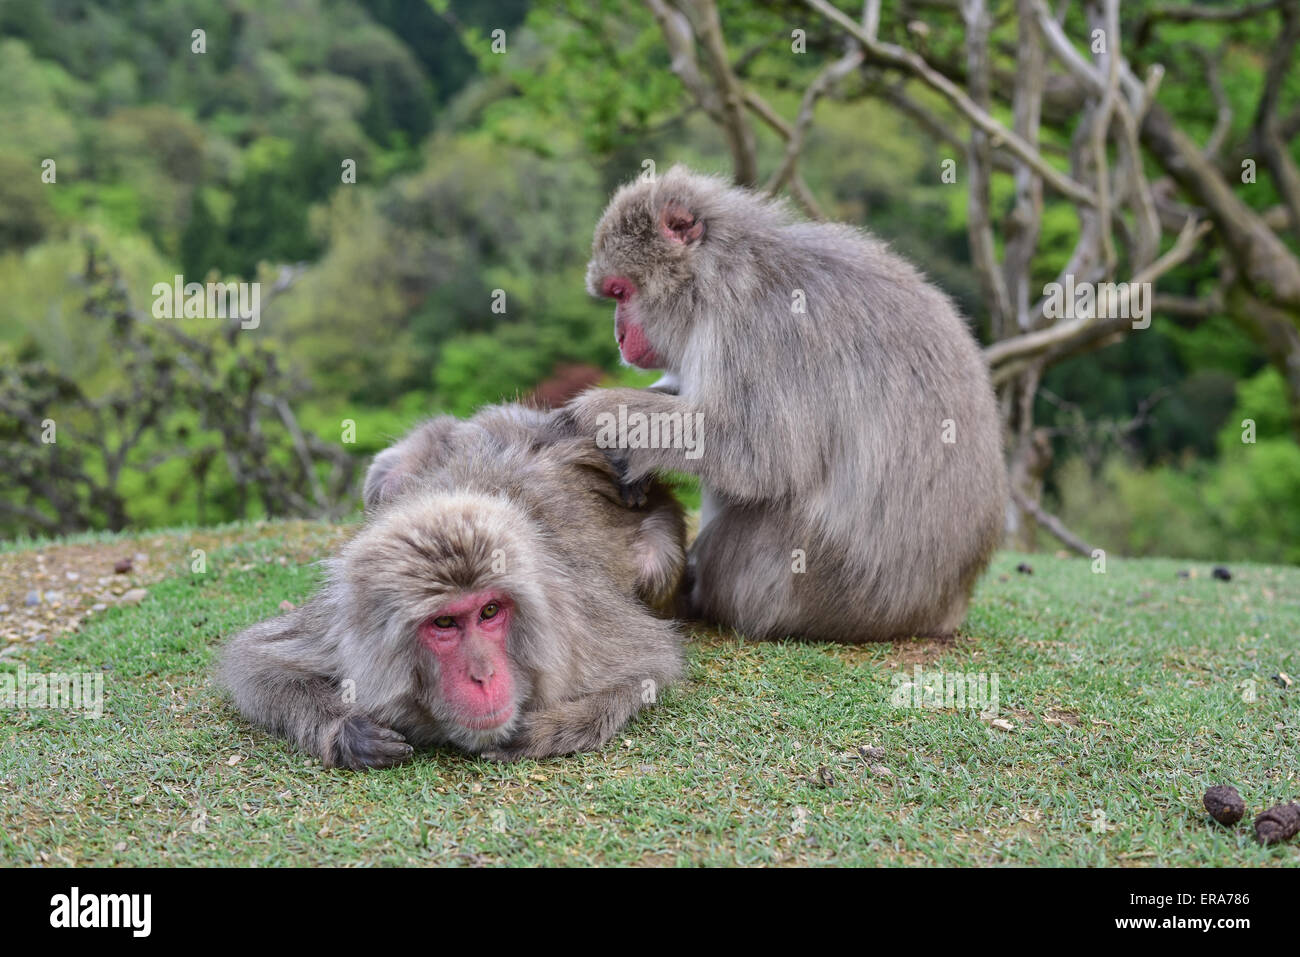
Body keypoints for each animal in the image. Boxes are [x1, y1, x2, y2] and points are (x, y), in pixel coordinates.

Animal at [219, 405, 687, 768]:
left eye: (489, 611)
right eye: (444, 623)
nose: (483, 676)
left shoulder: (579, 626)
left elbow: (651, 664)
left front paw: (546, 730)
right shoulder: (340, 626)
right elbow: (254, 663)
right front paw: (350, 731)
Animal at [556, 165, 1008, 643]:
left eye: (620, 292)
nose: (619, 337)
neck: (719, 273)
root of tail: (944, 606)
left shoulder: (756, 326)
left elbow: (763, 452)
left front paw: (599, 415)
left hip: (819, 586)